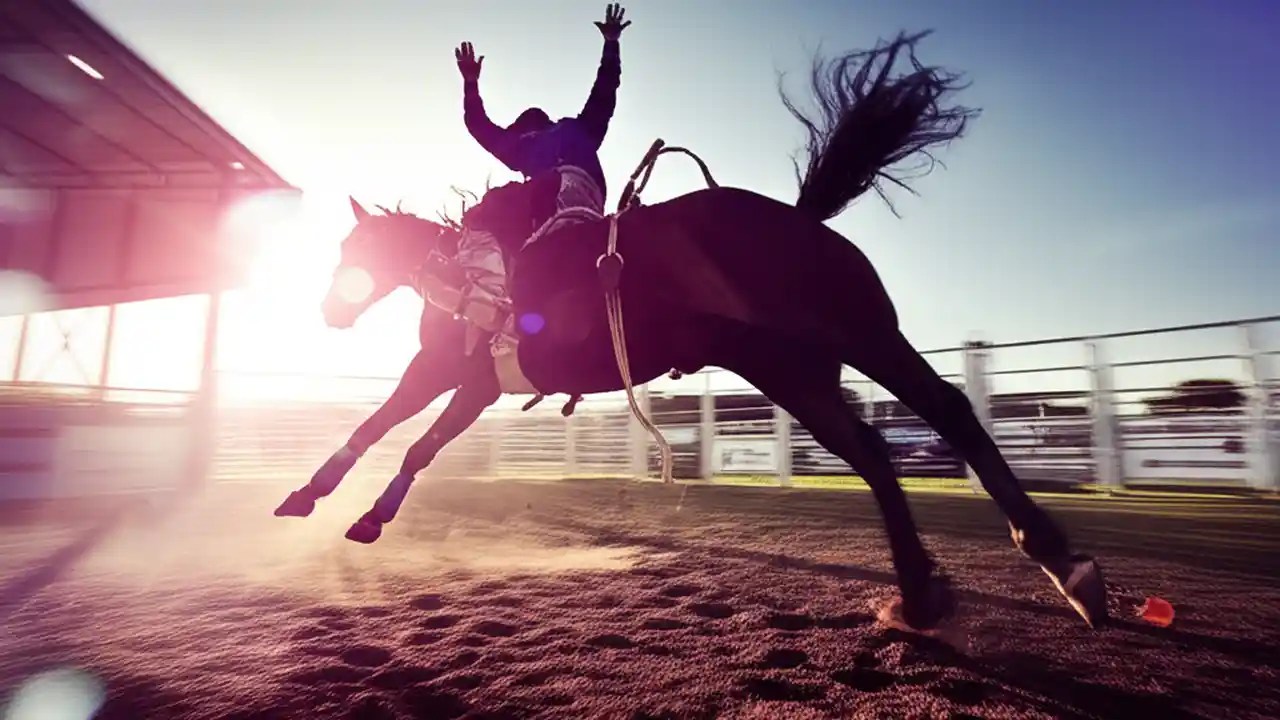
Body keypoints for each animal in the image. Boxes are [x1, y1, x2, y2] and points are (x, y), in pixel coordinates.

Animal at [274, 31, 1108, 635]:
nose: (330, 311)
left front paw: (349, 511)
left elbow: (406, 436)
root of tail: (797, 217)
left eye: (352, 252)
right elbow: (387, 427)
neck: (461, 266)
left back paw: (946, 588)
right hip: (832, 353)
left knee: (897, 439)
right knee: (918, 429)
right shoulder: (458, 378)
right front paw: (319, 500)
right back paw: (1028, 575)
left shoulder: (463, 376)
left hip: (812, 354)